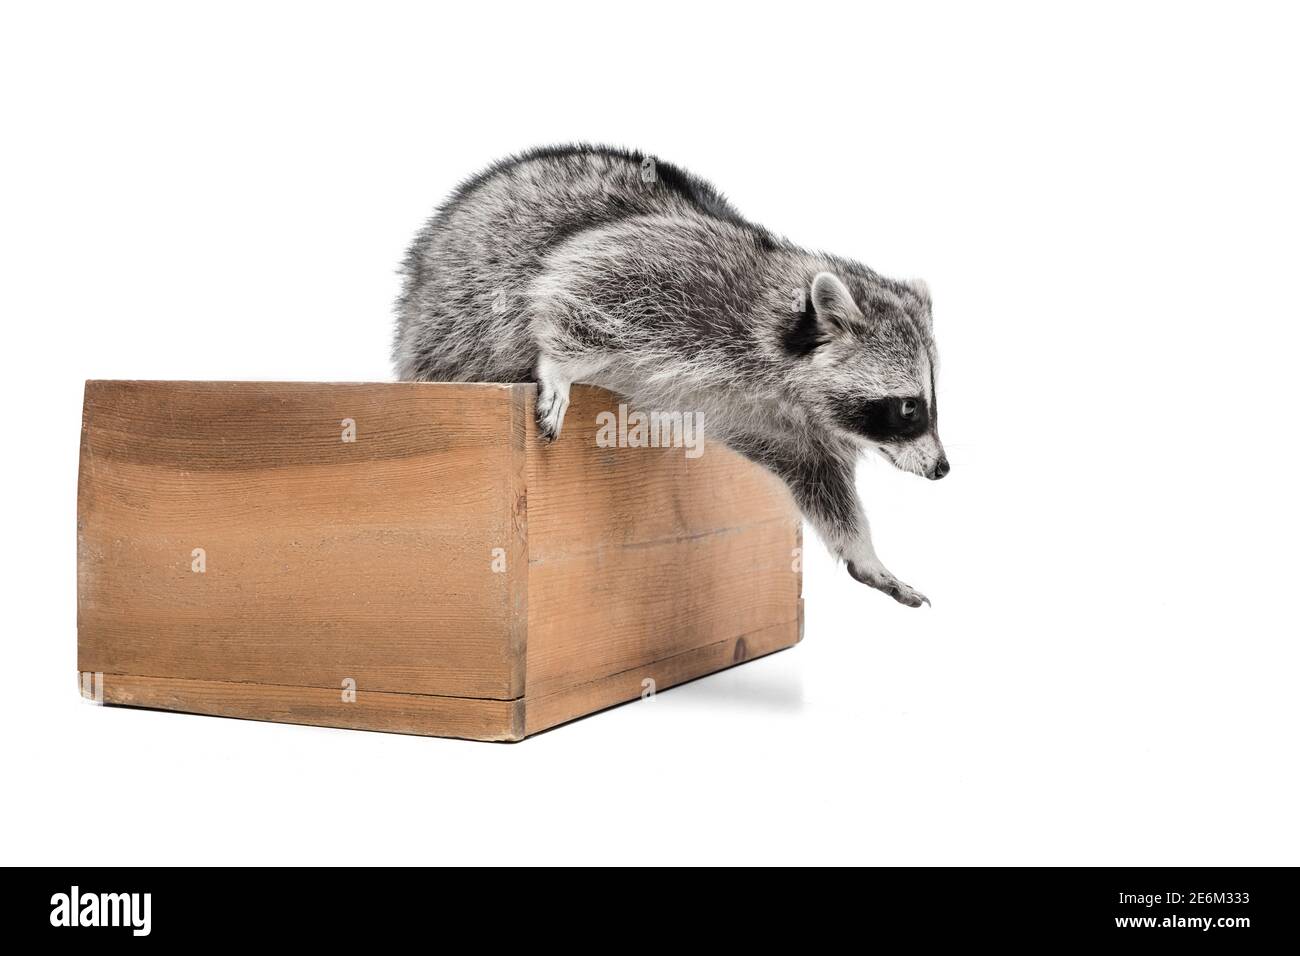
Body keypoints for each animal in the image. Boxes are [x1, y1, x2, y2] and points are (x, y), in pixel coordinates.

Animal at [394, 145, 947, 607]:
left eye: (930, 403)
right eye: (909, 408)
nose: (943, 469)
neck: (784, 382)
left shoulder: (774, 422)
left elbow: (819, 479)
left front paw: (864, 552)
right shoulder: (690, 281)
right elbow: (578, 272)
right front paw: (556, 365)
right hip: (453, 313)